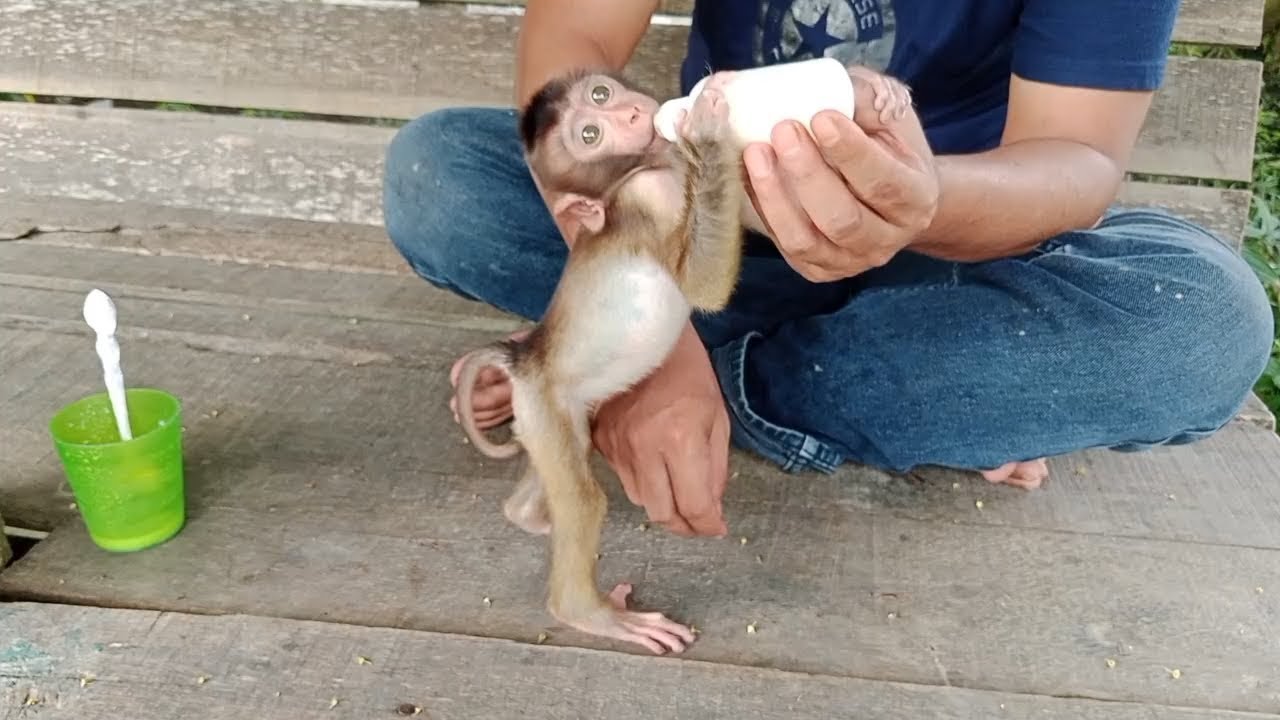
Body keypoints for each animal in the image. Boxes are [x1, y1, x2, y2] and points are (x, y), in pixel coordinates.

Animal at [453, 65, 915, 654]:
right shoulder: (649, 194)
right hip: (543, 404)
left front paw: (872, 88)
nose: (631, 113)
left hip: (551, 416)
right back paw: (589, 612)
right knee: (584, 502)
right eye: (589, 135)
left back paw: (528, 514)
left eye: (601, 94)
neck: (656, 163)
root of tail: (525, 356)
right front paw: (710, 127)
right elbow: (702, 287)